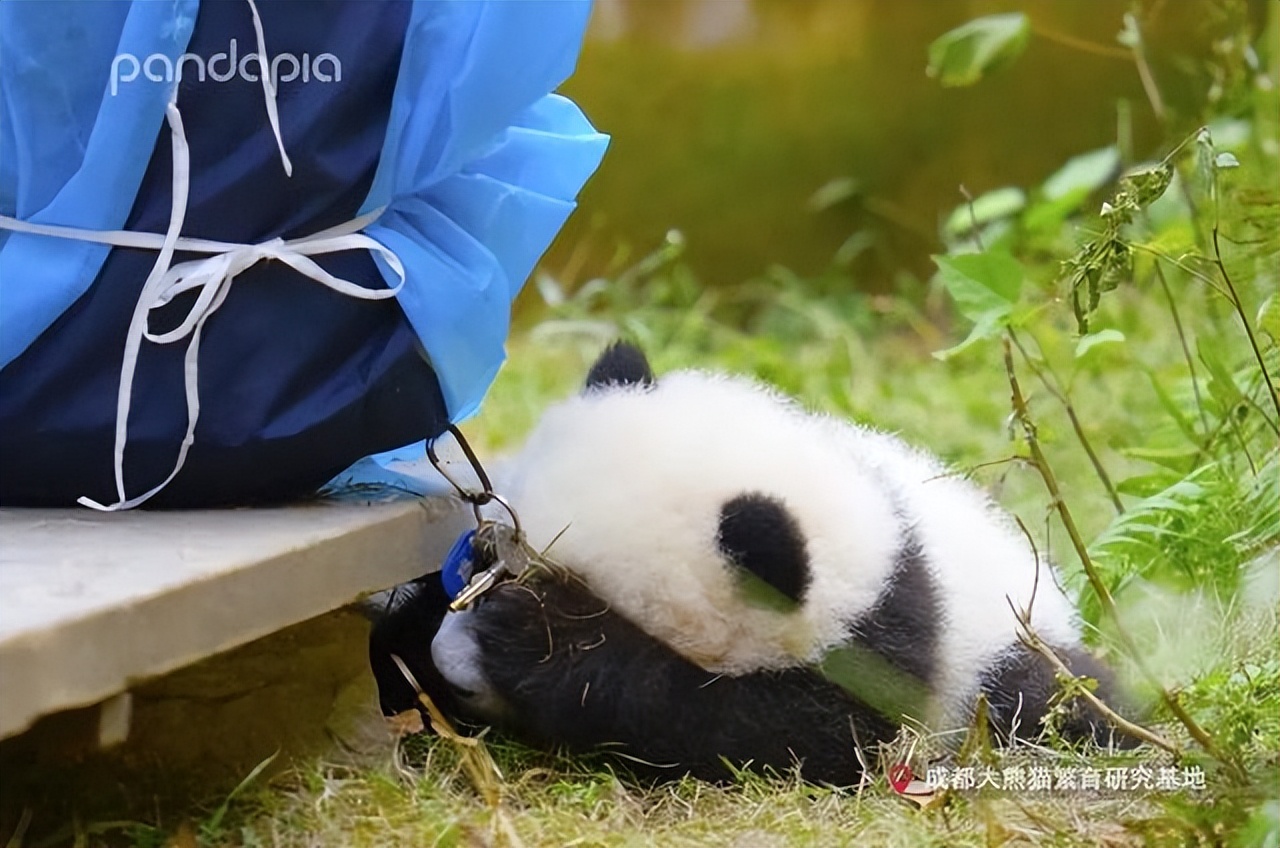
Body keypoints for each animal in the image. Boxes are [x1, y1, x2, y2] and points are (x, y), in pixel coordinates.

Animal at [370, 342, 1131, 784]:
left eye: (583, 599)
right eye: (483, 558)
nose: (446, 663)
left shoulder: (880, 649)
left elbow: (783, 733)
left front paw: (533, 642)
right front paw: (400, 644)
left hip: (1008, 664)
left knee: (1063, 703)